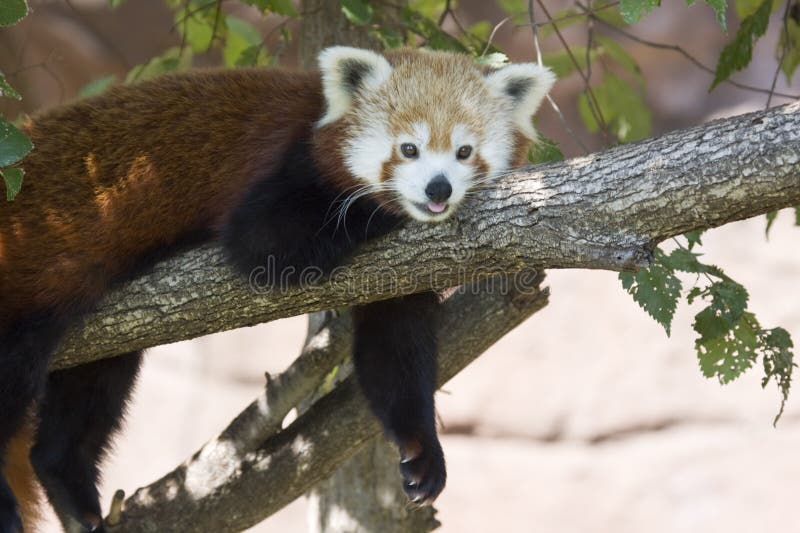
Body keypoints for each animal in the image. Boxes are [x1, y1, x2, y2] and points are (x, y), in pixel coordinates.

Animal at [0, 46, 555, 532]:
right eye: (408, 149)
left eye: (464, 151)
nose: (438, 189)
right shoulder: (283, 169)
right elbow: (265, 240)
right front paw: (378, 208)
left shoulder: (400, 279)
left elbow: (394, 353)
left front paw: (421, 451)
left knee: (91, 390)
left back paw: (70, 489)